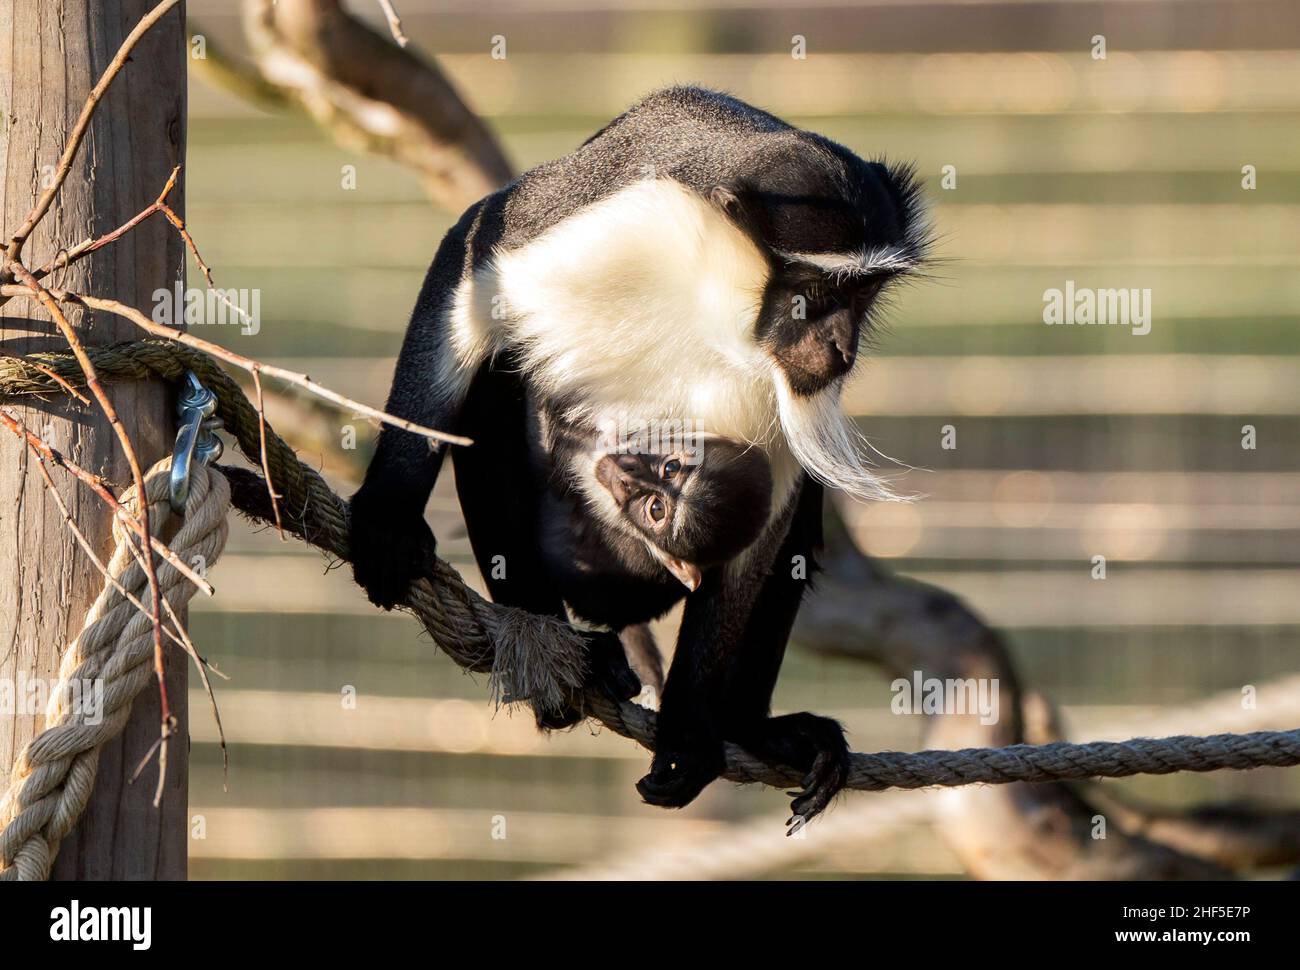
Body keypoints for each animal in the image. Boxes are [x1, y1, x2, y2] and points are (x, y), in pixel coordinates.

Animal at [349, 86, 929, 823]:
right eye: (813, 293)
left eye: (863, 294)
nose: (839, 350)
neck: (717, 298)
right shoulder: (627, 218)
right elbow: (472, 255)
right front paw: (389, 515)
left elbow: (768, 520)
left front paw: (693, 726)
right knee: (497, 374)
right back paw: (565, 647)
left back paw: (748, 726)